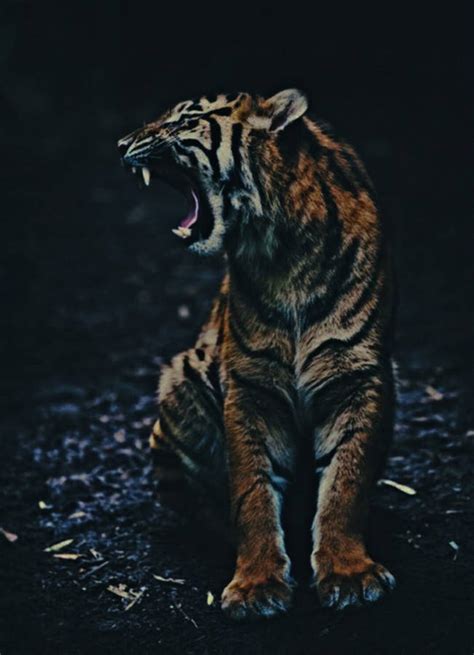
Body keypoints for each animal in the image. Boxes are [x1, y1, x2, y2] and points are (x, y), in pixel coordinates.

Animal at [118, 88, 397, 620]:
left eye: (184, 120)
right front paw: (257, 586)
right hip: (182, 379)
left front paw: (349, 576)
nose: (122, 143)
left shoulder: (356, 379)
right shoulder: (251, 388)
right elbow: (251, 490)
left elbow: (345, 485)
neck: (282, 252)